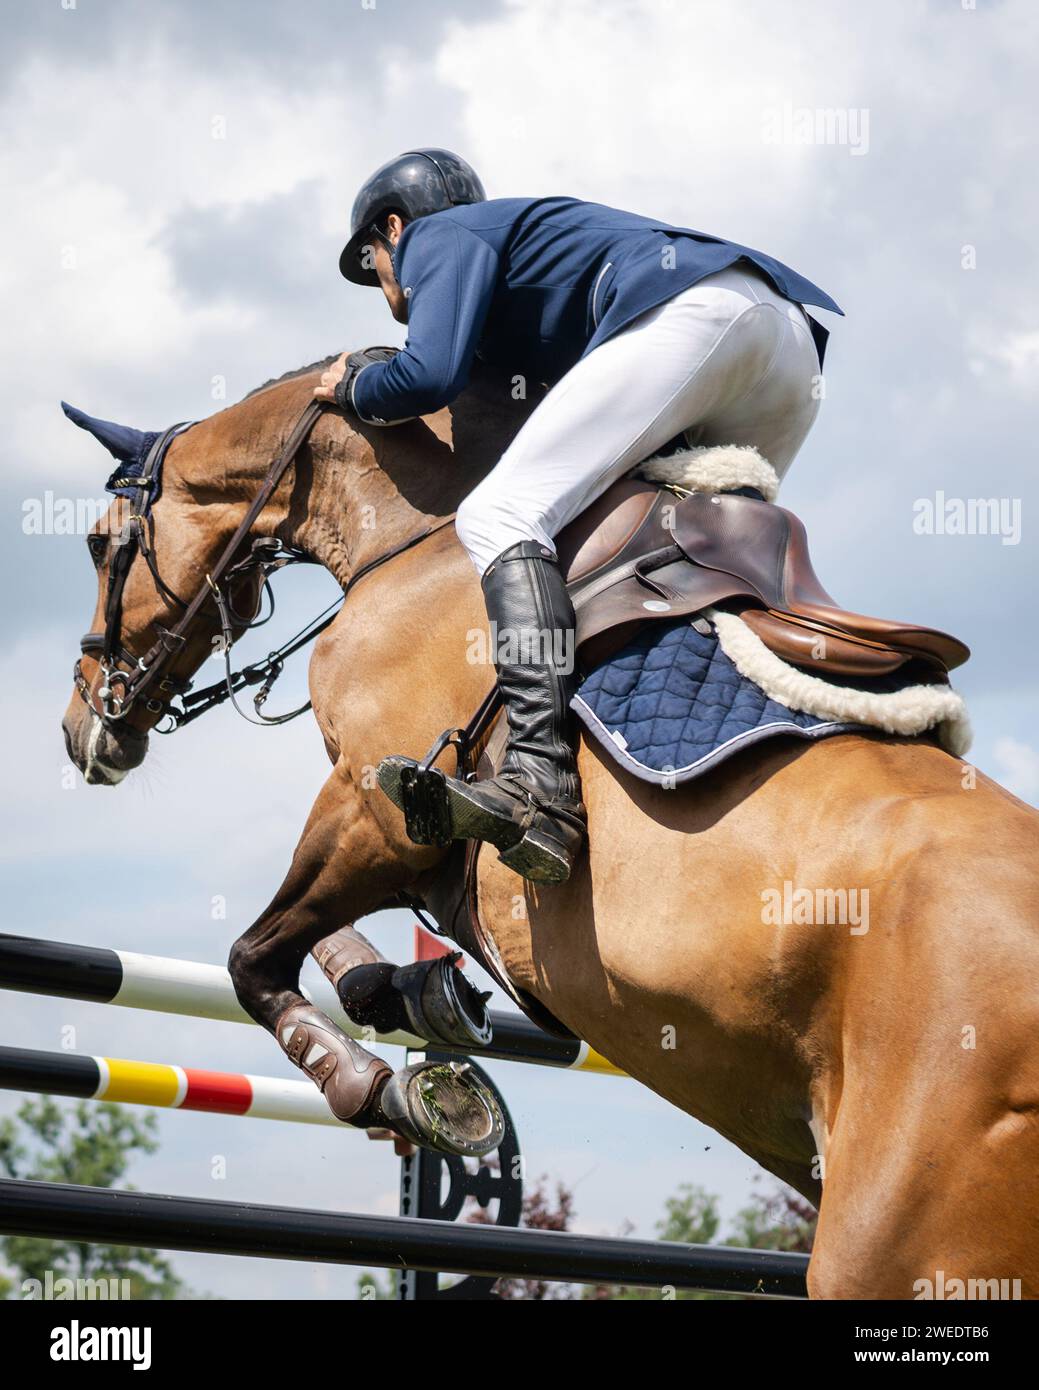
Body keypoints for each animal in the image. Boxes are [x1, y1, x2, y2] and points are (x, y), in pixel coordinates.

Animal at [61, 361, 1039, 1298]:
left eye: (101, 544)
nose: (83, 730)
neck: (411, 538)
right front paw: (413, 996)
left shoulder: (375, 808)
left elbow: (255, 958)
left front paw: (387, 1089)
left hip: (894, 1238)